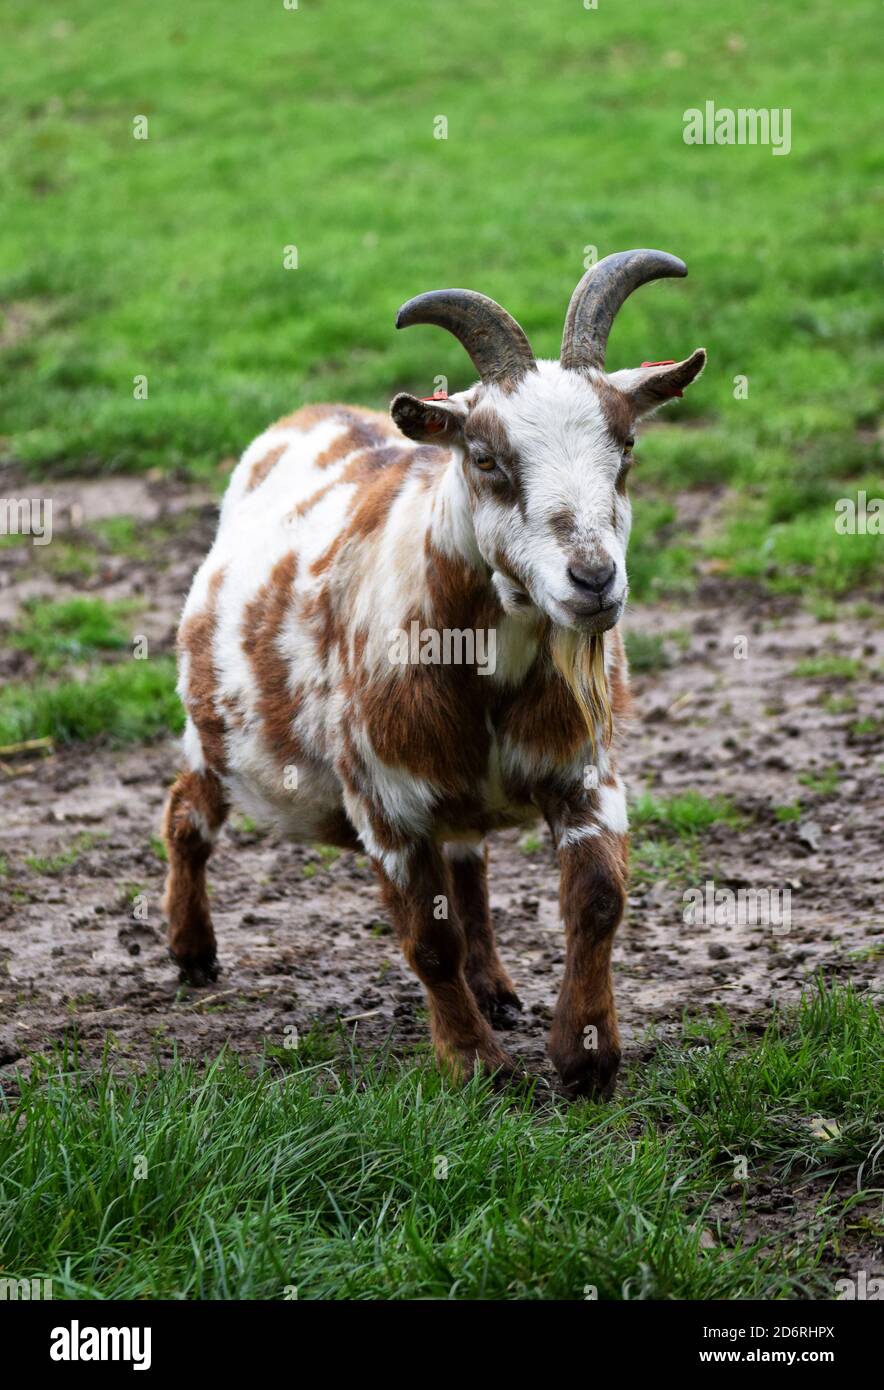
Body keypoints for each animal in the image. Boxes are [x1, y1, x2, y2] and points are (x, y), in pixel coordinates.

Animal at [163, 249, 705, 1096]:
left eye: (626, 448)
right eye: (485, 459)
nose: (592, 580)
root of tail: (307, 414)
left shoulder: (585, 772)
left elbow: (596, 902)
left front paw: (585, 1056)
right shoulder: (385, 800)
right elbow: (426, 938)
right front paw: (476, 1064)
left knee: (469, 867)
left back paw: (498, 989)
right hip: (216, 735)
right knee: (186, 813)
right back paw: (192, 952)